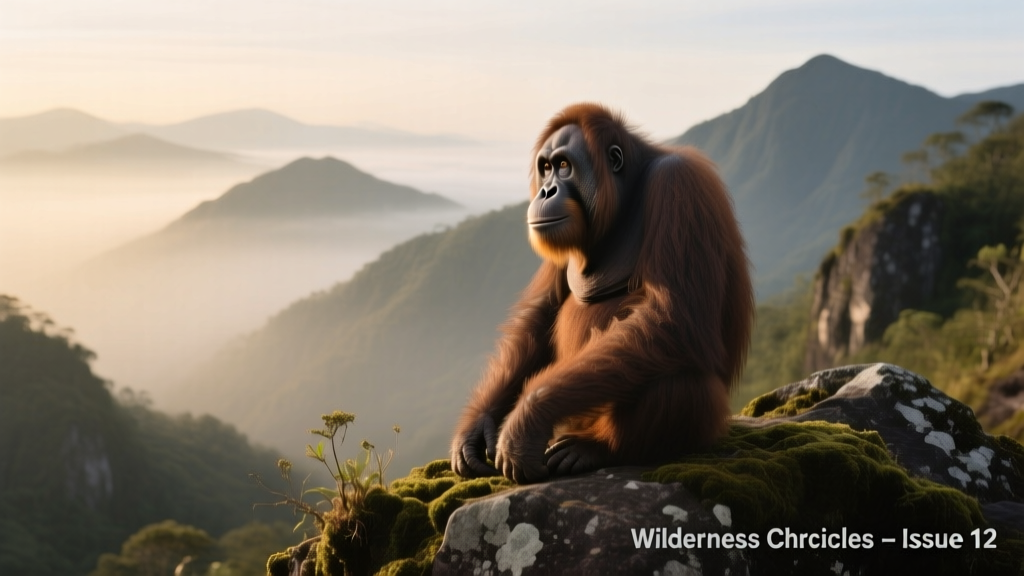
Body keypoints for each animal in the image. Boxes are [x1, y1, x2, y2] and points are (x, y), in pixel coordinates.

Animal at [451, 103, 754, 483]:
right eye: (545, 168)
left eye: (564, 166)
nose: (546, 192)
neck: (628, 193)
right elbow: (540, 315)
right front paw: (476, 428)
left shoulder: (679, 184)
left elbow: (673, 316)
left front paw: (523, 426)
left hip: (703, 424)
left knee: (679, 379)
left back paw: (595, 448)